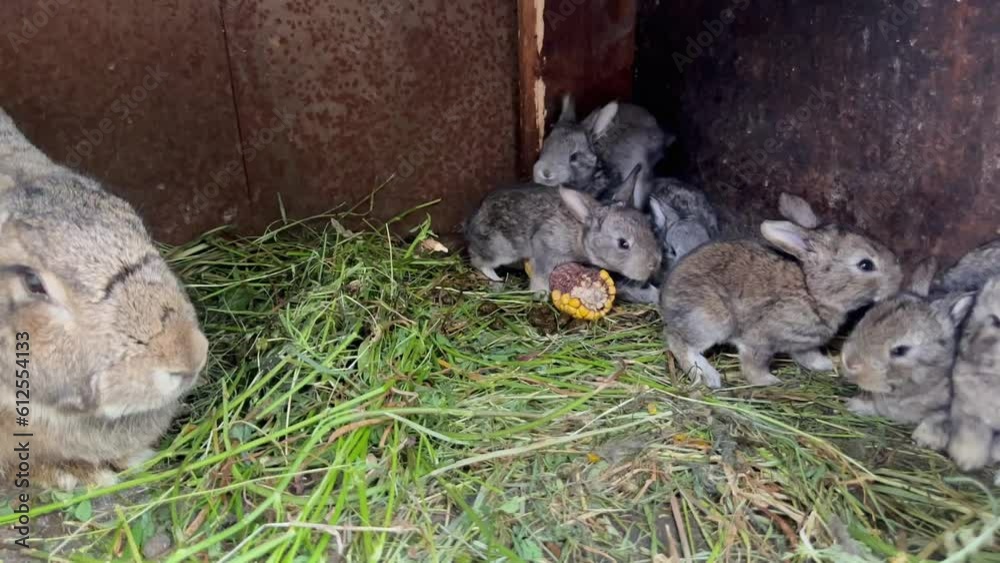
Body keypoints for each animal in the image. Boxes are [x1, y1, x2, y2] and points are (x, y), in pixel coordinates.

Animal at [465, 164, 661, 294]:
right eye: (623, 243)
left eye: (650, 228)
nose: (655, 264)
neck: (580, 233)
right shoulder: (545, 247)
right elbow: (541, 273)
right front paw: (540, 293)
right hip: (500, 248)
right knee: (479, 261)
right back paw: (496, 280)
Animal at [660, 194, 903, 388]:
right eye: (865, 265)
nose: (899, 280)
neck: (812, 292)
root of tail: (666, 298)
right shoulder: (760, 340)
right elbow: (754, 364)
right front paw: (770, 381)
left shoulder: (804, 345)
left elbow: (810, 358)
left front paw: (827, 364)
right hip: (712, 321)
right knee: (677, 340)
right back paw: (710, 377)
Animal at [840, 258, 976, 450]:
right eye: (864, 319)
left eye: (900, 350)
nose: (849, 362)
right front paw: (856, 405)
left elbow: (938, 418)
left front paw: (925, 439)